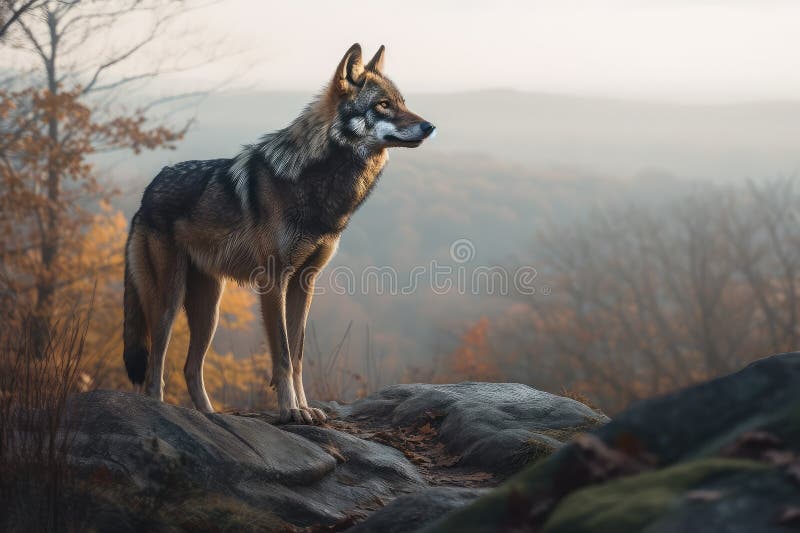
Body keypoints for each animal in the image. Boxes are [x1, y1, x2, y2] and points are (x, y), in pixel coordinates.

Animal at [122, 44, 435, 423]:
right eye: (383, 105)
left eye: (402, 102)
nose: (430, 126)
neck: (317, 183)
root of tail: (147, 192)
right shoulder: (273, 281)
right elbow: (283, 356)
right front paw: (290, 410)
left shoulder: (304, 281)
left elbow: (297, 355)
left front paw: (304, 407)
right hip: (169, 302)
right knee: (155, 366)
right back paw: (158, 410)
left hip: (209, 310)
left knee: (190, 367)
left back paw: (211, 416)